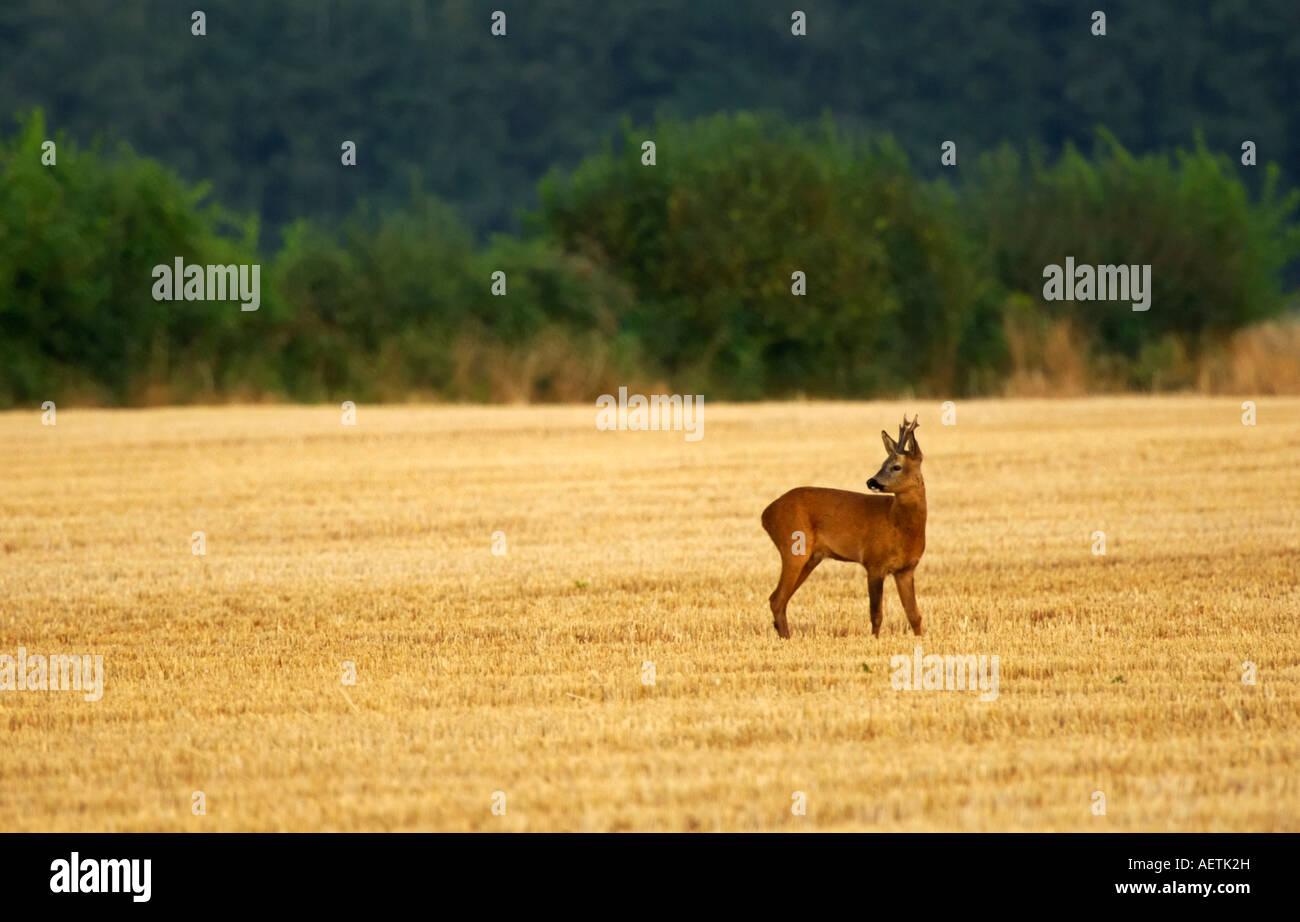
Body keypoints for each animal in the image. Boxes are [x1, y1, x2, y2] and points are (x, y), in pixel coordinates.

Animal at [760, 416, 927, 639]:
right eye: (883, 463)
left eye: (896, 466)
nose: (871, 481)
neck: (899, 525)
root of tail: (765, 514)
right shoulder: (874, 562)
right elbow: (876, 613)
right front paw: (874, 640)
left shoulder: (906, 569)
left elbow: (914, 615)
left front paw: (921, 639)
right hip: (793, 547)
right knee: (777, 598)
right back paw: (786, 639)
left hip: (811, 558)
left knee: (779, 599)